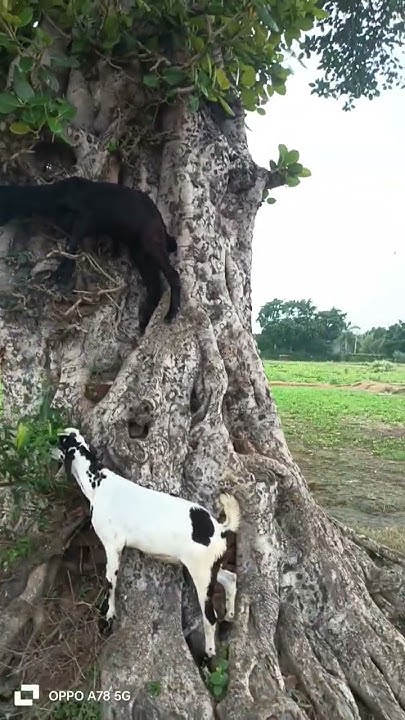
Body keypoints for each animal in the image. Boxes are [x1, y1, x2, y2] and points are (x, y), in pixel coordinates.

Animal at [0, 178, 180, 332]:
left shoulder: (86, 218)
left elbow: (72, 245)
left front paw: (60, 275)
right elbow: (73, 246)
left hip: (151, 240)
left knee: (172, 274)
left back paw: (172, 312)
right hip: (141, 254)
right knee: (155, 287)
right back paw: (144, 322)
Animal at [52, 428, 239, 658]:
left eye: (60, 441)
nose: (49, 449)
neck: (99, 484)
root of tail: (219, 529)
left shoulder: (112, 545)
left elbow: (110, 581)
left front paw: (108, 617)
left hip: (201, 573)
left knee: (210, 617)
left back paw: (209, 654)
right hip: (210, 567)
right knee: (230, 579)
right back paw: (229, 616)